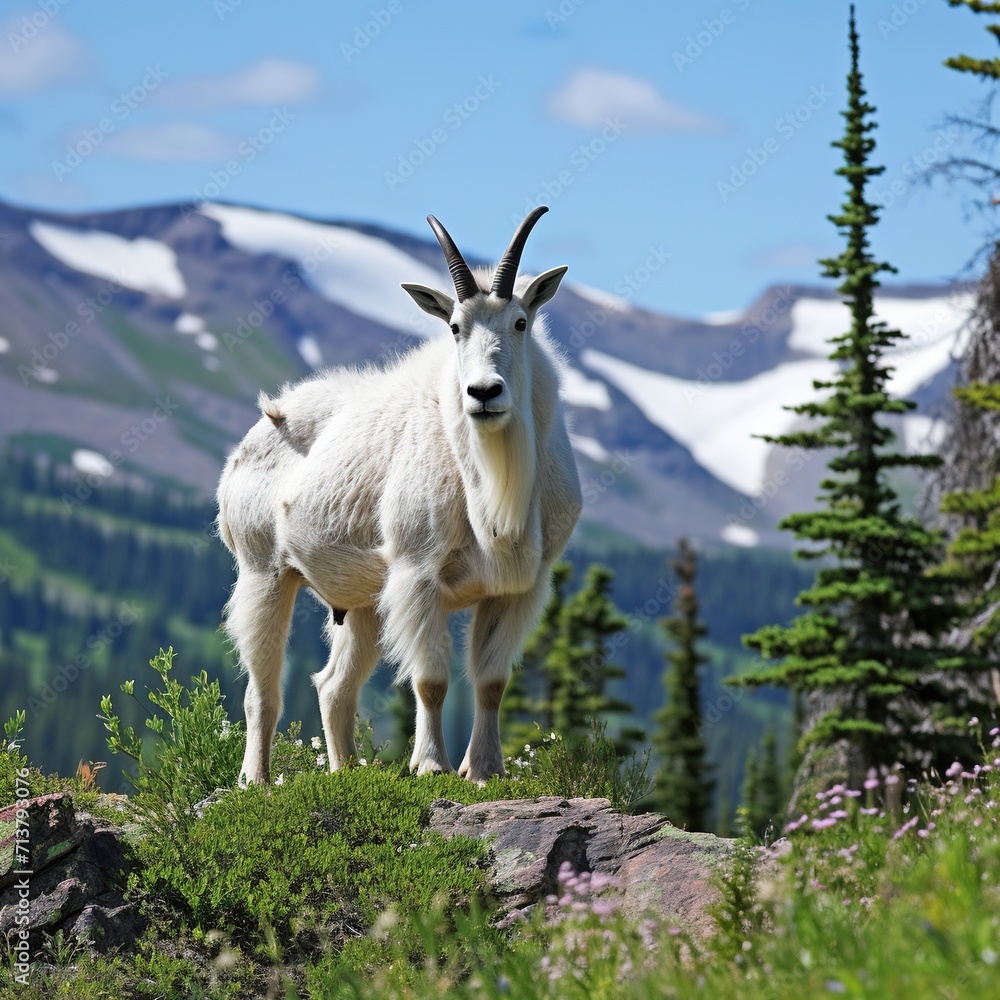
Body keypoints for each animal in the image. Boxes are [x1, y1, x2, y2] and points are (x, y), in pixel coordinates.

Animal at [217, 207, 582, 785]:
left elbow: (491, 682)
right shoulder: (417, 572)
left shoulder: (519, 586)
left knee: (333, 686)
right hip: (263, 573)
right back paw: (255, 780)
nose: (484, 393)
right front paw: (430, 765)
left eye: (520, 322)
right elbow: (431, 681)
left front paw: (484, 770)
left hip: (362, 602)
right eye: (455, 328)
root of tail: (251, 436)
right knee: (261, 691)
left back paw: (345, 773)